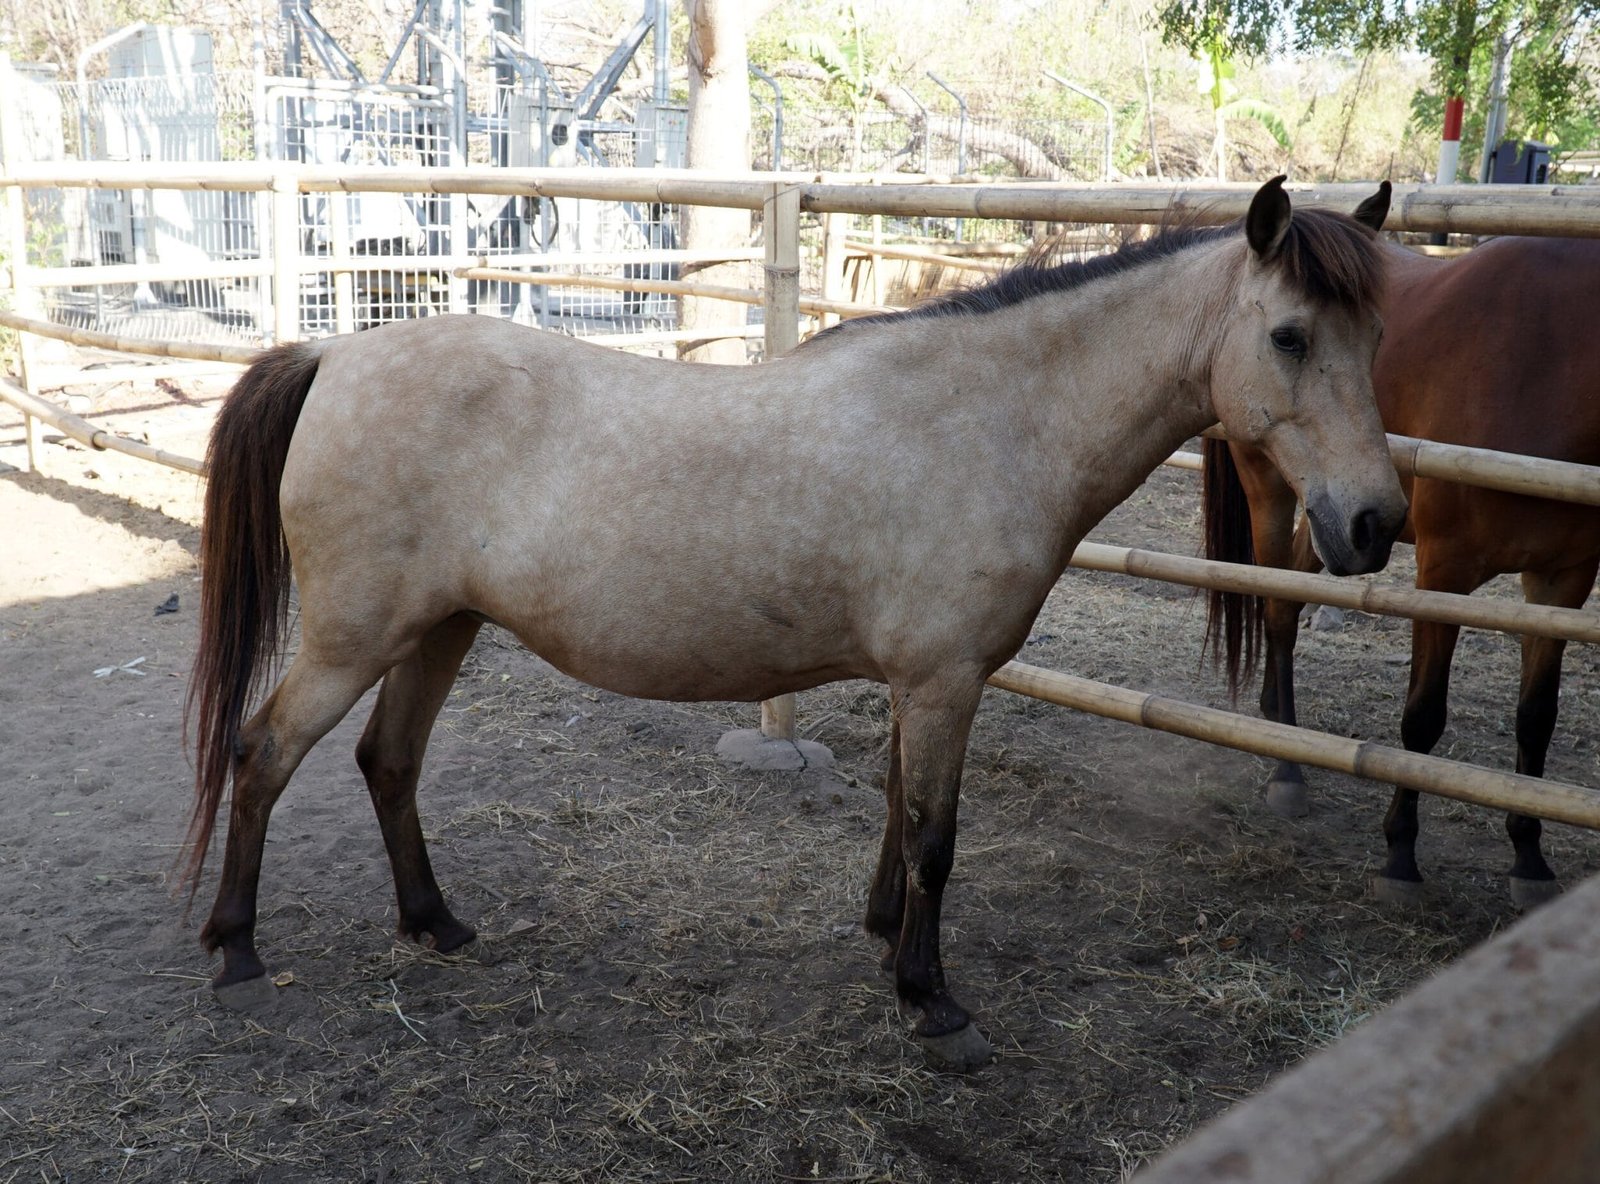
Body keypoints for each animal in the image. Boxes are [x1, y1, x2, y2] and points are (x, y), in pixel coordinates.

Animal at [185, 177, 1404, 1070]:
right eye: (1290, 337)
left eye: (1374, 338)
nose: (1375, 520)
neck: (996, 417)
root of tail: (334, 353)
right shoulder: (944, 677)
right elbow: (935, 834)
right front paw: (933, 1002)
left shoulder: (923, 680)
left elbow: (900, 814)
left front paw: (883, 939)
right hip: (353, 637)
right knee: (263, 750)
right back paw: (236, 946)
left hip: (439, 628)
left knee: (387, 761)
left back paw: (435, 921)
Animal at [1204, 233, 1600, 909]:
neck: (1548, 369)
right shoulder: (1443, 572)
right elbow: (1423, 716)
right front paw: (1400, 854)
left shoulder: (1563, 583)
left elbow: (1536, 718)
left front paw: (1529, 858)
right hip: (1271, 487)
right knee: (1278, 608)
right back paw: (1288, 769)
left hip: (1337, 518)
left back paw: (1274, 711)